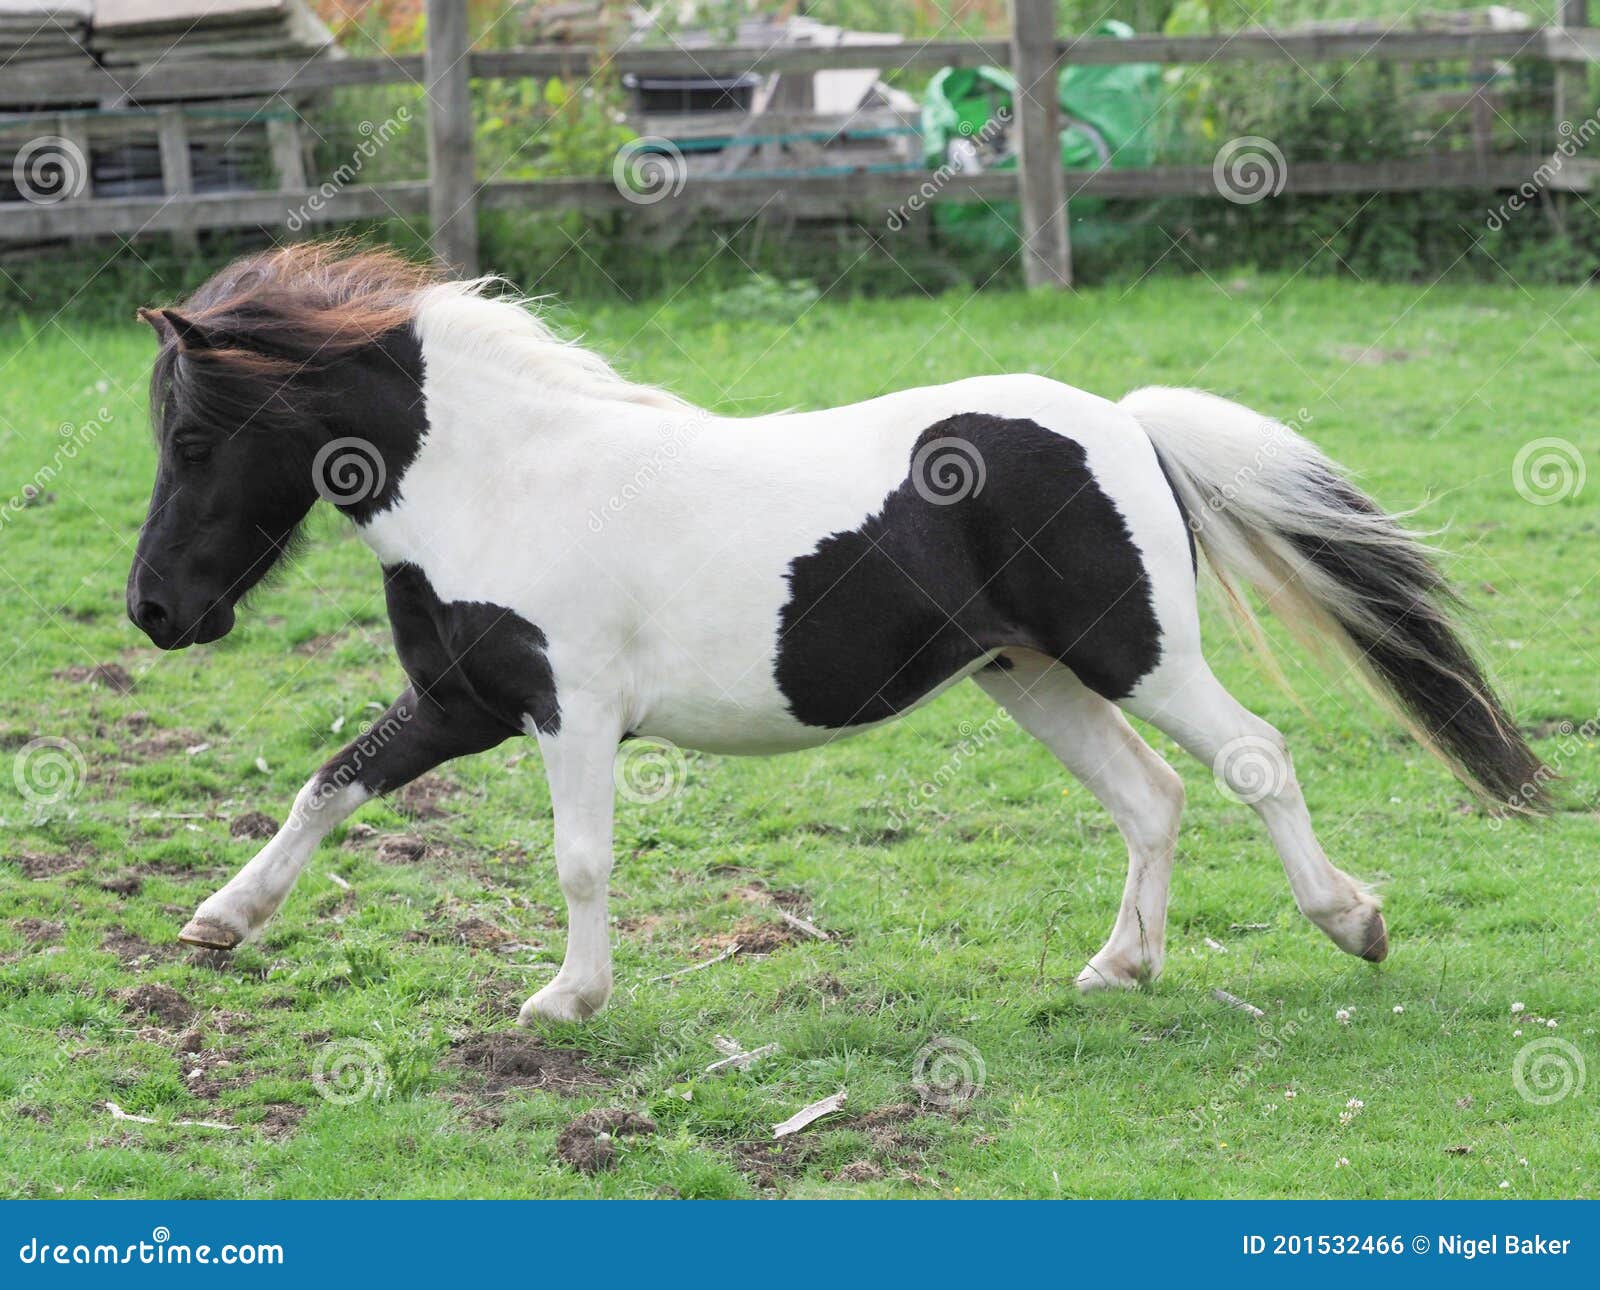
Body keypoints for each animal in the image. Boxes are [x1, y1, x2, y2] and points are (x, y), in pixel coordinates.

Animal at [126, 243, 1547, 1024]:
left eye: (192, 438)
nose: (155, 613)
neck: (503, 482)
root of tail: (1126, 421)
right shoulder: (464, 702)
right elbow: (329, 786)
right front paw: (218, 923)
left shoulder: (567, 714)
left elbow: (579, 862)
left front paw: (566, 1000)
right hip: (1028, 674)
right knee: (1149, 797)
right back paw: (1117, 968)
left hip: (1133, 653)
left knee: (1249, 759)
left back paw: (1352, 924)